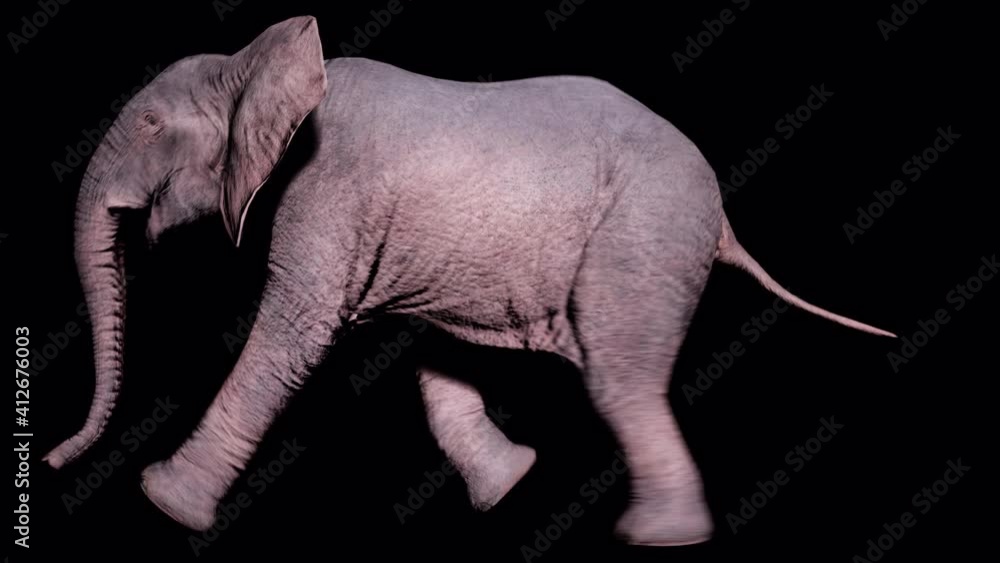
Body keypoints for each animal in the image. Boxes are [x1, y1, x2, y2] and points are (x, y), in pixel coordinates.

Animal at [44, 16, 895, 546]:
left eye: (151, 125)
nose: (51, 461)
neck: (258, 59)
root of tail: (723, 217)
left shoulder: (329, 194)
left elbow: (294, 332)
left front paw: (161, 501)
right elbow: (434, 357)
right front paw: (513, 483)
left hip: (640, 237)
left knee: (622, 380)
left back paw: (656, 537)